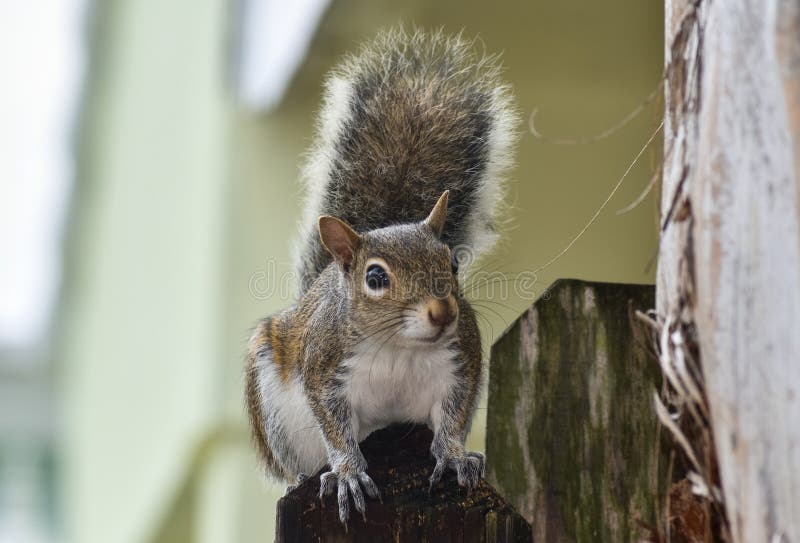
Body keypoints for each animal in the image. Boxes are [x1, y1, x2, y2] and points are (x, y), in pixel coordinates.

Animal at [245, 28, 518, 524]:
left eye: (452, 263)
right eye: (375, 278)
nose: (442, 311)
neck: (399, 347)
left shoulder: (461, 365)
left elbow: (452, 417)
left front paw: (454, 455)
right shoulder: (324, 370)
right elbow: (335, 429)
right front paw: (349, 473)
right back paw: (304, 477)